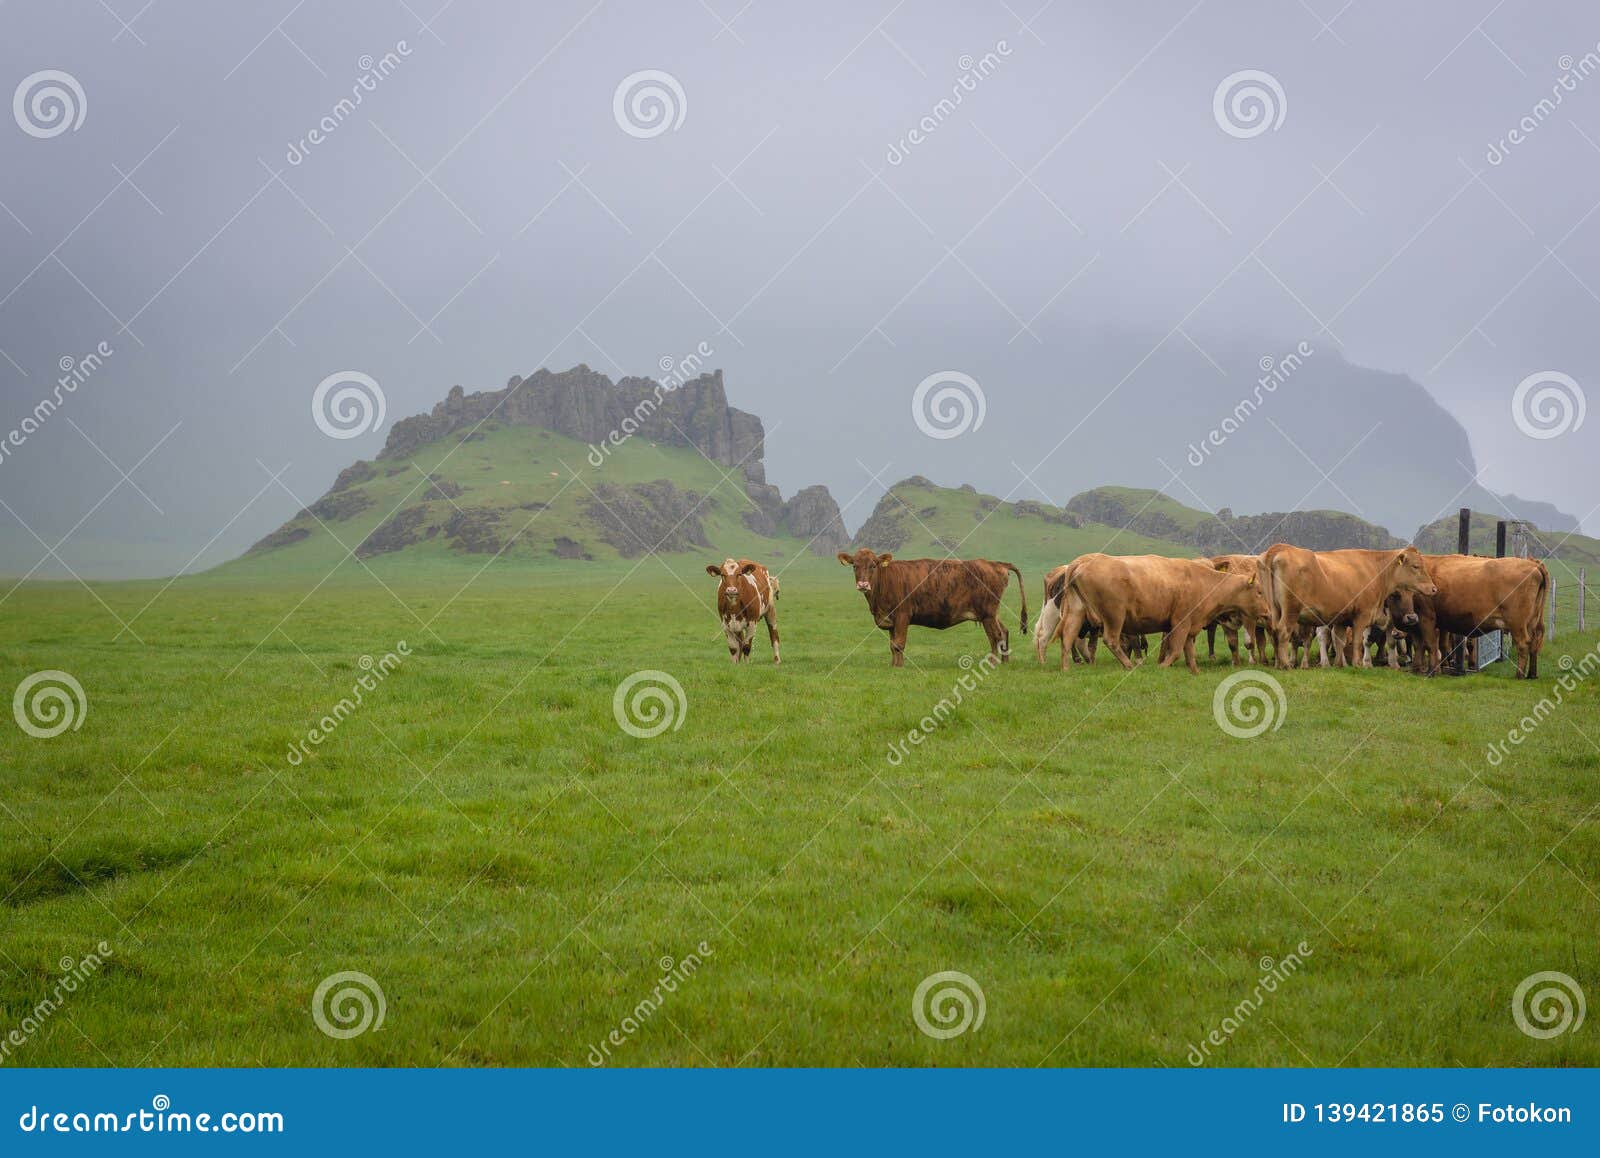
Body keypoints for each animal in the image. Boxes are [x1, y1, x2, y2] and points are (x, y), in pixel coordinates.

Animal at [838, 549, 1025, 667]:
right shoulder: (891, 620)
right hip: (992, 614)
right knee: (1004, 632)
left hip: (988, 614)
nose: (863, 584)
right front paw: (893, 664)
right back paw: (1005, 662)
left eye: (873, 565)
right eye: (855, 566)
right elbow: (892, 645)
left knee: (996, 636)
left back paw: (993, 663)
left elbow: (899, 644)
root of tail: (995, 564)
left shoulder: (902, 616)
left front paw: (899, 667)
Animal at [1051, 554, 1270, 674]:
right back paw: (1129, 665)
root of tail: (1082, 561)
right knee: (1111, 640)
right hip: (1115, 615)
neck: (1203, 581)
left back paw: (1065, 667)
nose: (1268, 612)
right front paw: (1163, 667)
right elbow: (1176, 650)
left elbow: (1188, 651)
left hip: (1076, 611)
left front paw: (1195, 671)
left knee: (1068, 637)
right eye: (1260, 591)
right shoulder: (1181, 623)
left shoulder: (1189, 626)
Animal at [1258, 545, 1437, 670]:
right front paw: (1358, 664)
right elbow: (1357, 640)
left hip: (1276, 610)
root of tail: (1281, 547)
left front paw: (1340, 664)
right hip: (1291, 611)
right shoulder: (1362, 615)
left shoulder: (1342, 619)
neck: (1375, 569)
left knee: (1274, 633)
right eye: (1416, 566)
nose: (1434, 588)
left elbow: (1340, 641)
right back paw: (1285, 665)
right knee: (1283, 632)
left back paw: (1278, 664)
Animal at [1405, 554, 1549, 678]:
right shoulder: (1438, 623)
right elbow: (1434, 645)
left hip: (1517, 623)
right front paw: (1428, 668)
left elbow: (1428, 644)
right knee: (1534, 643)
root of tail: (1533, 565)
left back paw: (1519, 675)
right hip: (1532, 621)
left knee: (1523, 644)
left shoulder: (1426, 616)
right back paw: (1532, 674)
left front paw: (1430, 671)